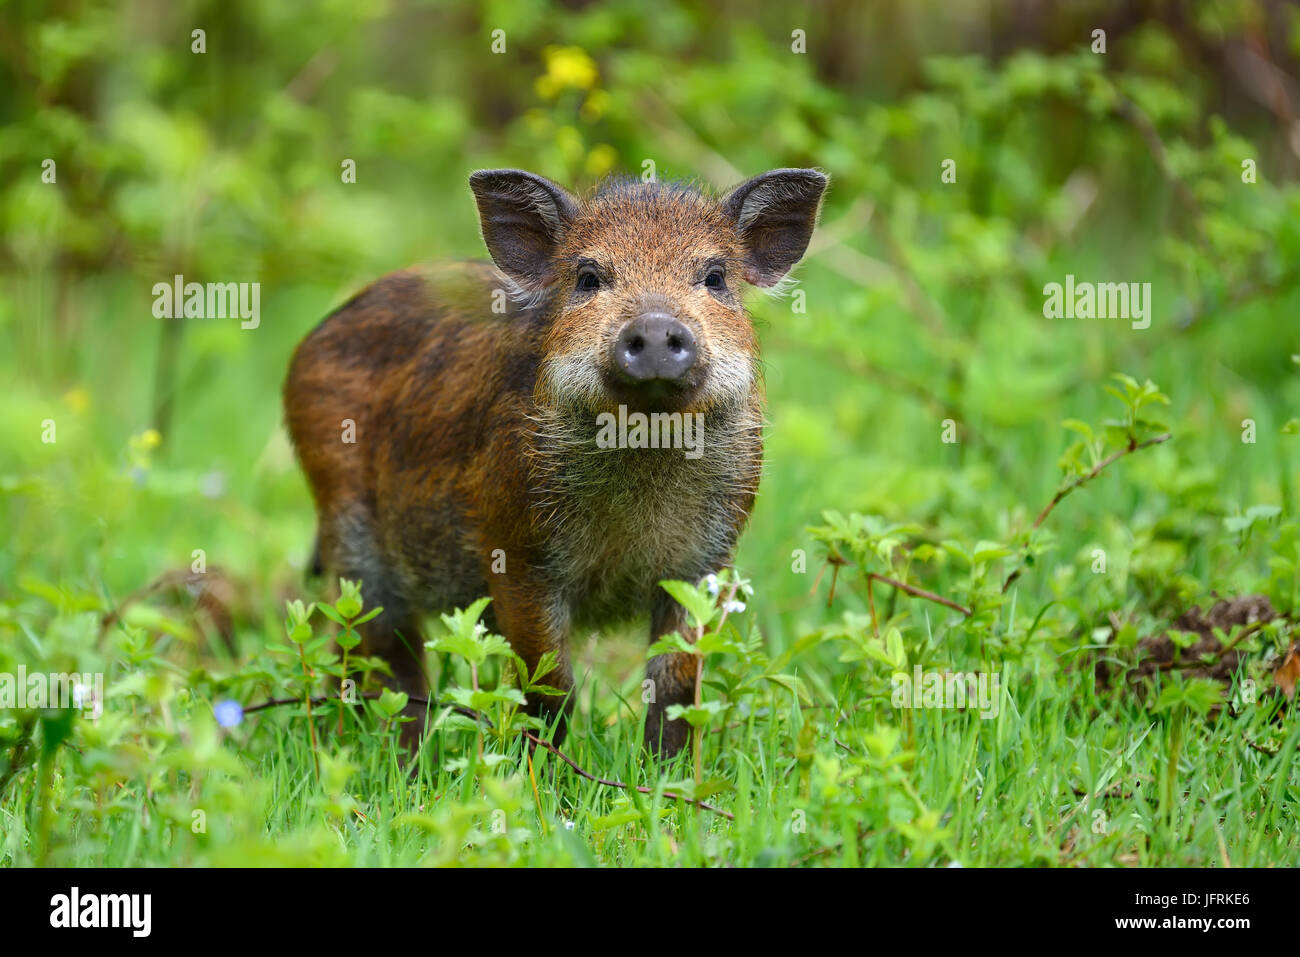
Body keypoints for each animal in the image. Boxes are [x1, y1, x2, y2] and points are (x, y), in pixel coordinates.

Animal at [283, 167, 827, 757]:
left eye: (715, 277)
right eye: (588, 277)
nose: (656, 326)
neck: (644, 456)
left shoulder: (704, 561)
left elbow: (676, 685)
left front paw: (668, 770)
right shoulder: (518, 554)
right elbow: (548, 687)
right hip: (349, 530)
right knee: (381, 655)